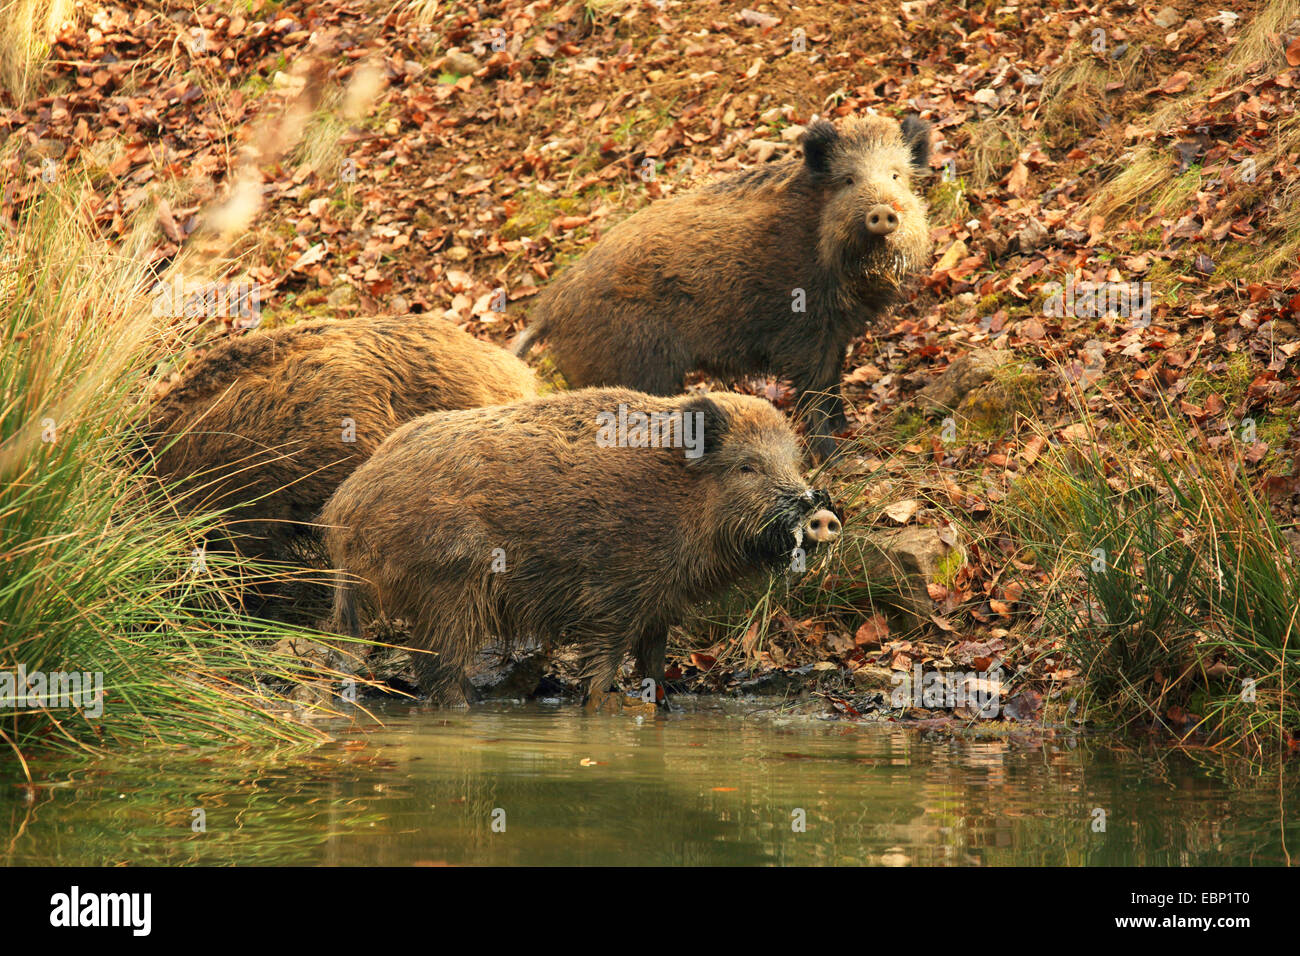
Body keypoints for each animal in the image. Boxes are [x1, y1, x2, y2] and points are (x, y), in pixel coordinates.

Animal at [320, 387, 843, 705]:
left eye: (793, 460)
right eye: (746, 466)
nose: (821, 510)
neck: (682, 499)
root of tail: (343, 510)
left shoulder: (660, 604)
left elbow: (654, 664)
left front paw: (664, 706)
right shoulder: (614, 598)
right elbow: (602, 671)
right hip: (450, 586)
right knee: (436, 667)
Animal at [512, 113, 932, 462]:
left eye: (896, 175)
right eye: (847, 180)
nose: (882, 211)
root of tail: (549, 309)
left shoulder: (838, 332)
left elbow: (833, 385)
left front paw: (847, 429)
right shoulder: (804, 335)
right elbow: (815, 393)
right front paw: (838, 458)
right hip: (630, 369)